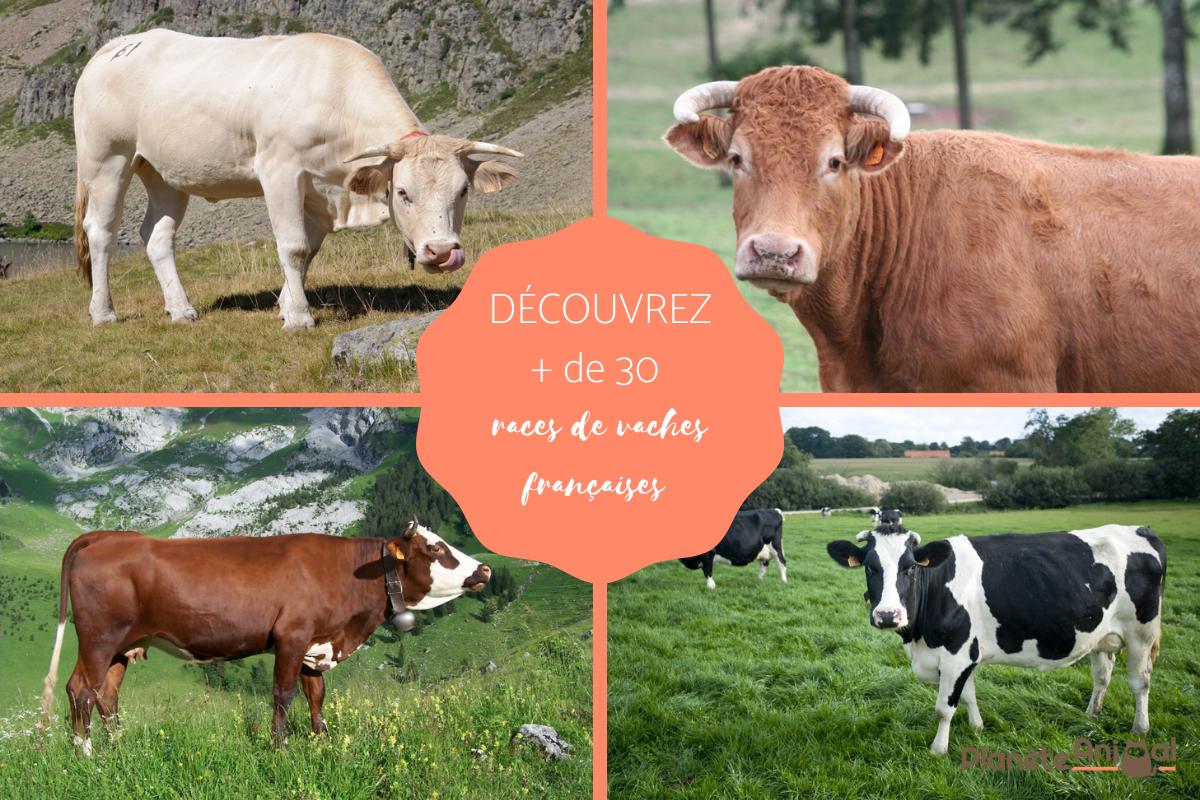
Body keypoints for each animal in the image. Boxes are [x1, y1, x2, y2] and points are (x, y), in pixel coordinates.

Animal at [38, 521, 491, 753]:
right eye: (435, 549)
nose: (484, 569)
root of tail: (107, 536)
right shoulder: (292, 636)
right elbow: (283, 694)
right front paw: (281, 747)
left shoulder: (317, 644)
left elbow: (316, 695)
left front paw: (323, 743)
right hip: (98, 638)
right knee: (80, 689)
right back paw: (86, 753)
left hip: (124, 645)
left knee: (107, 695)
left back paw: (121, 749)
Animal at [73, 30, 523, 329]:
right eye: (402, 192)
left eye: (462, 191)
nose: (443, 252)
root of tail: (113, 48)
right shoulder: (280, 169)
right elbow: (292, 246)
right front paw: (300, 318)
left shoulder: (323, 191)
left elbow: (308, 251)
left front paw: (287, 306)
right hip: (107, 158)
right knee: (101, 232)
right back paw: (103, 312)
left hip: (164, 172)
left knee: (157, 236)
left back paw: (181, 310)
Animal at [826, 524, 1166, 754]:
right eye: (870, 567)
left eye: (909, 567)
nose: (887, 615)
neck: (918, 639)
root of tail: (1140, 529)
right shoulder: (965, 654)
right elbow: (968, 695)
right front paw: (977, 728)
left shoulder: (957, 654)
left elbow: (944, 707)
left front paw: (938, 749)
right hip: (1101, 635)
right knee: (1102, 675)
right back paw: (1091, 714)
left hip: (1142, 632)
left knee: (1140, 682)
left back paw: (1140, 728)